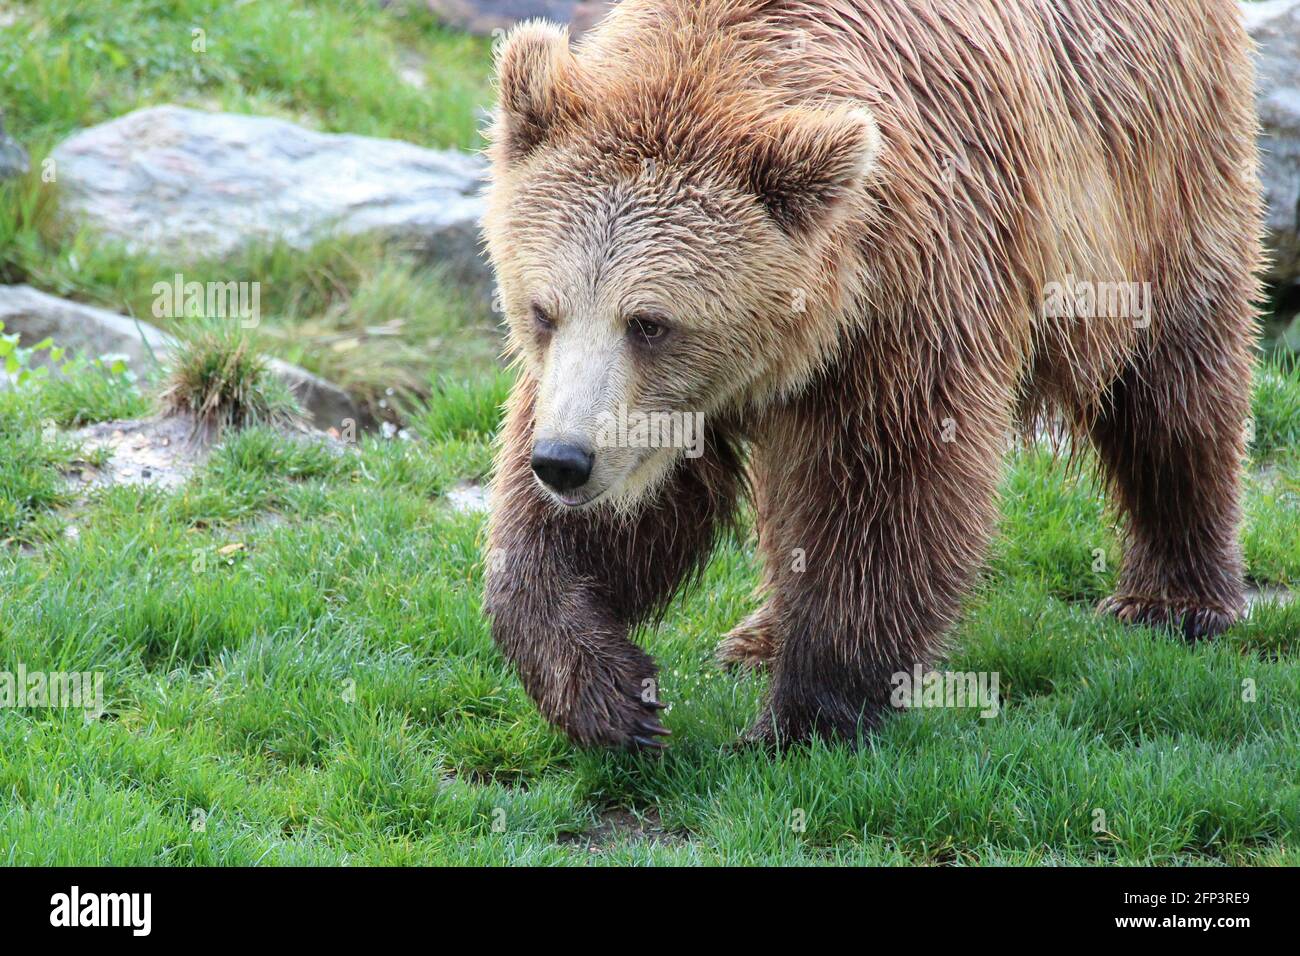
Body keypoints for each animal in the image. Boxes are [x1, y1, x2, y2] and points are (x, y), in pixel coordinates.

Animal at [481, 0, 1264, 748]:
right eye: (542, 310)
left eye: (649, 322)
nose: (565, 461)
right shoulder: (655, 399)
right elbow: (602, 518)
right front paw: (608, 691)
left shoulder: (914, 289)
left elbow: (888, 492)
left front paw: (800, 718)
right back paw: (758, 636)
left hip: (1159, 169)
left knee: (1176, 383)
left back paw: (1174, 598)